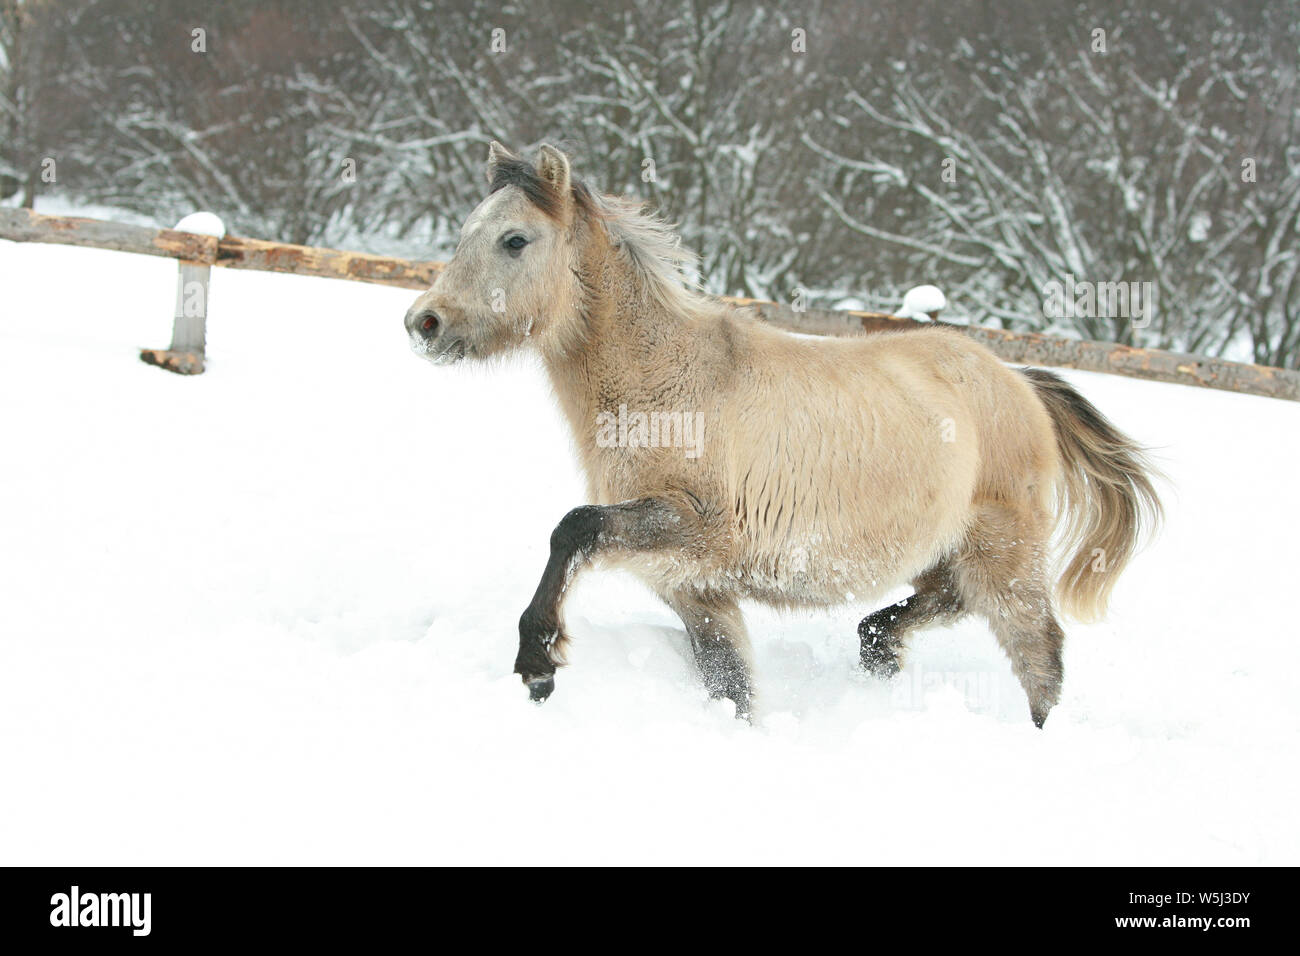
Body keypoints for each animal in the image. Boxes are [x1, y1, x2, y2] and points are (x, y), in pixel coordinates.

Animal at [403, 142, 1162, 727]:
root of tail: (1019, 383)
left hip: (1005, 558)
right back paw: (880, 649)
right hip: (950, 555)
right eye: (466, 232)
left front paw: (538, 662)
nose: (423, 323)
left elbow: (574, 526)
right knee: (940, 605)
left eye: (514, 240)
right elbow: (732, 689)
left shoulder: (696, 527)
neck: (668, 383)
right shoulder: (696, 588)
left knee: (1041, 656)